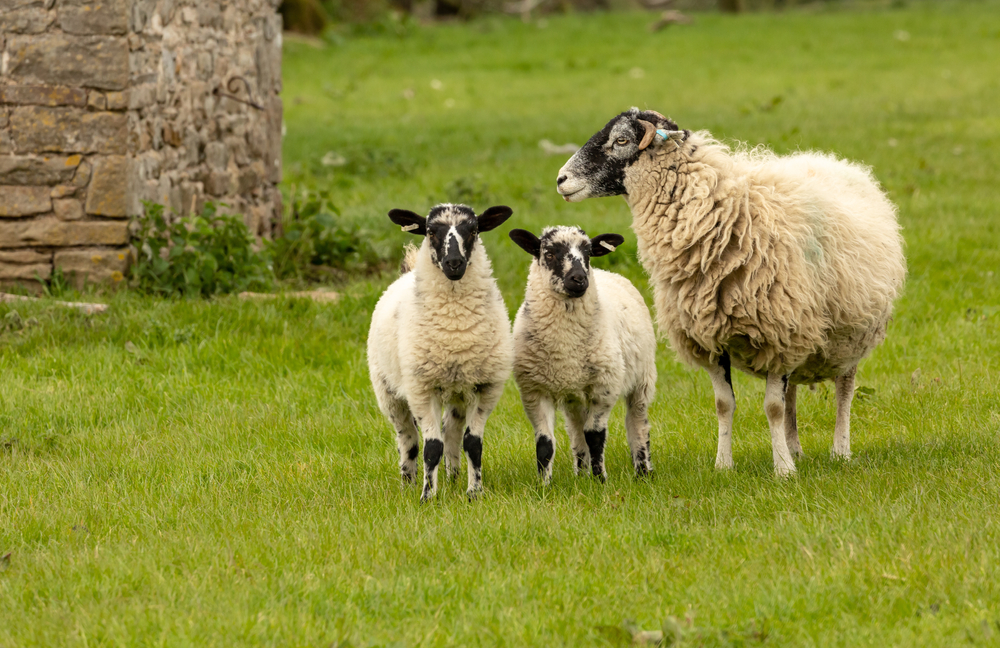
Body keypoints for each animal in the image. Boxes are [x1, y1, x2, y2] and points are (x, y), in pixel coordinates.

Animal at [367, 203, 514, 501]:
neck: (455, 326)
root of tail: (408, 270)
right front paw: (428, 497)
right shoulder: (422, 388)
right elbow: (431, 447)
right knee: (408, 438)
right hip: (389, 392)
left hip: (458, 392)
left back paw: (453, 477)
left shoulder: (486, 387)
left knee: (452, 432)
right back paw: (408, 482)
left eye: (473, 229)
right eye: (431, 231)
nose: (454, 263)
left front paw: (474, 493)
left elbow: (473, 443)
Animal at [508, 225, 658, 484]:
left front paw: (600, 481)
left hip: (643, 377)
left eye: (588, 252)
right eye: (549, 253)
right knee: (576, 428)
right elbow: (545, 443)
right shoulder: (534, 391)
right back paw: (581, 473)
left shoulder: (604, 387)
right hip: (574, 394)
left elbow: (595, 436)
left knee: (637, 423)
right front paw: (543, 485)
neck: (564, 345)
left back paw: (642, 471)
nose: (579, 279)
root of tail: (607, 272)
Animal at [555, 108, 906, 476]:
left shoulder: (778, 333)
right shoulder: (712, 339)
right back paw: (795, 448)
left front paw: (782, 470)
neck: (718, 212)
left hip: (851, 335)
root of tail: (834, 162)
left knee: (844, 390)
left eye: (621, 139)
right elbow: (725, 404)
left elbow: (773, 408)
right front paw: (724, 464)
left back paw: (840, 450)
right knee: (793, 393)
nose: (561, 179)